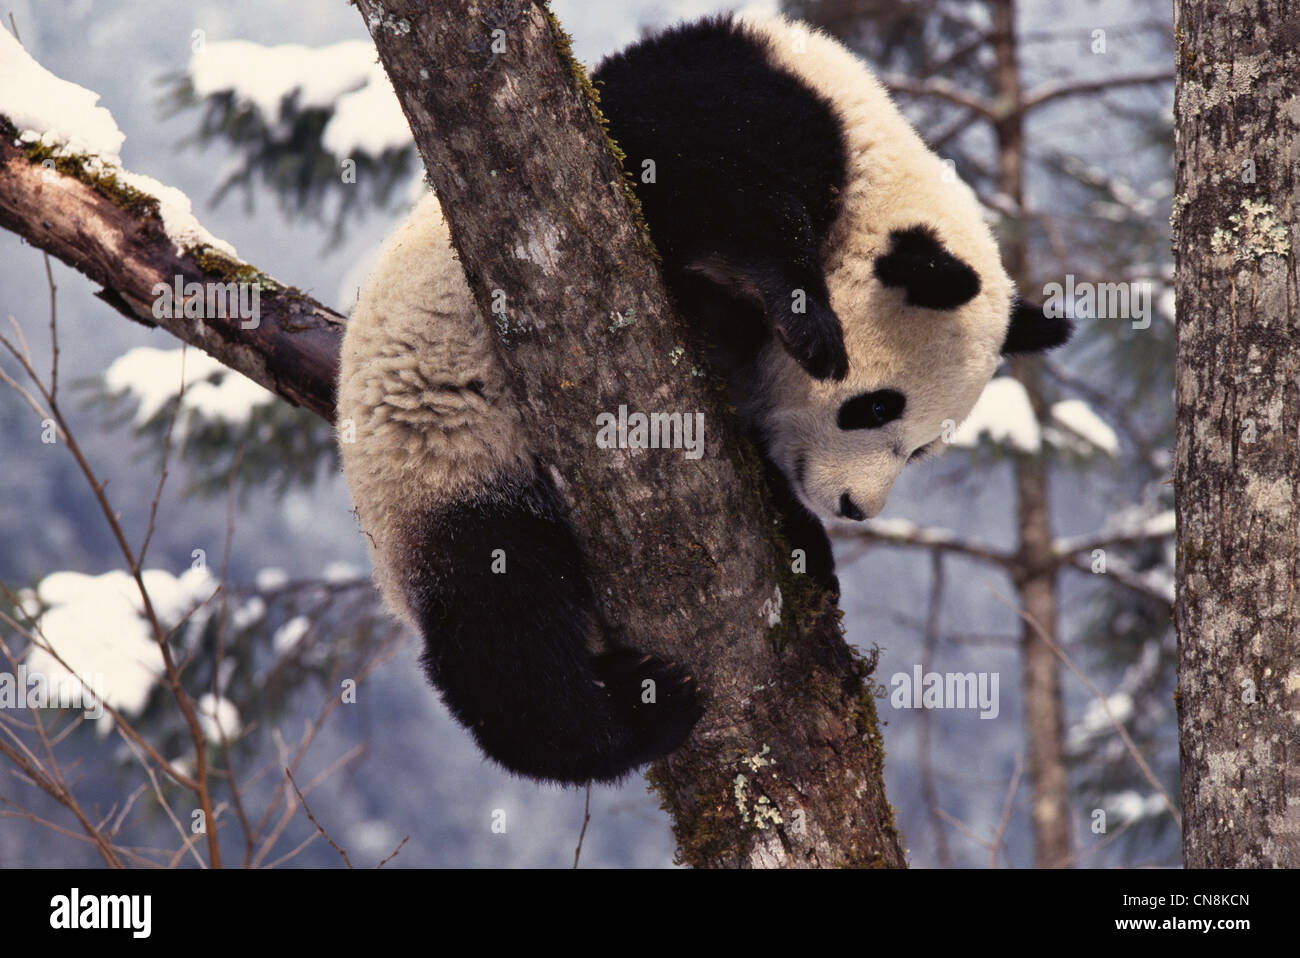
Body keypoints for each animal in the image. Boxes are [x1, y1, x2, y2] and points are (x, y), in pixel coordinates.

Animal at [336, 13, 1070, 784]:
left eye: (924, 448)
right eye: (875, 408)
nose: (855, 508)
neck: (871, 166)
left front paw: (807, 544)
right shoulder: (720, 94)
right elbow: (683, 174)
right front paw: (809, 321)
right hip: (446, 459)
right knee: (503, 618)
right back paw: (640, 712)